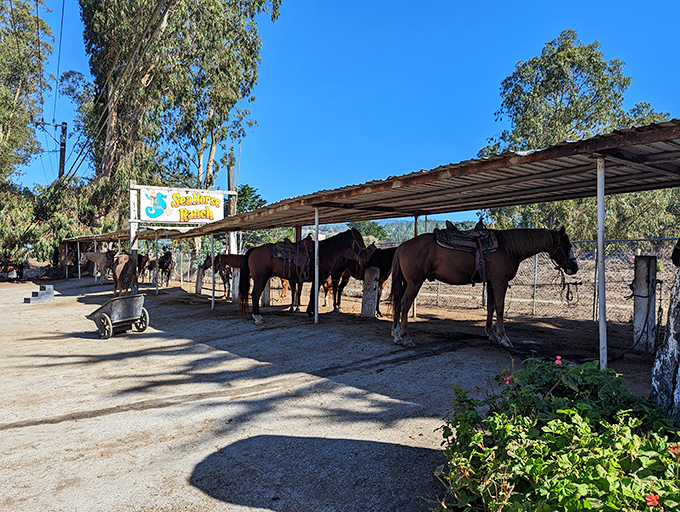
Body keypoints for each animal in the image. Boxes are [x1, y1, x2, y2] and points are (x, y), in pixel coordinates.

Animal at [389, 227, 578, 348]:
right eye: (567, 245)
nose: (574, 267)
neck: (507, 248)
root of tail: (402, 246)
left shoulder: (491, 283)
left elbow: (491, 307)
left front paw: (491, 334)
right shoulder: (500, 282)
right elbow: (500, 309)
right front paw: (504, 337)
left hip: (406, 283)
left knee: (398, 304)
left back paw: (397, 335)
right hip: (414, 282)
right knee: (405, 304)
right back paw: (406, 338)